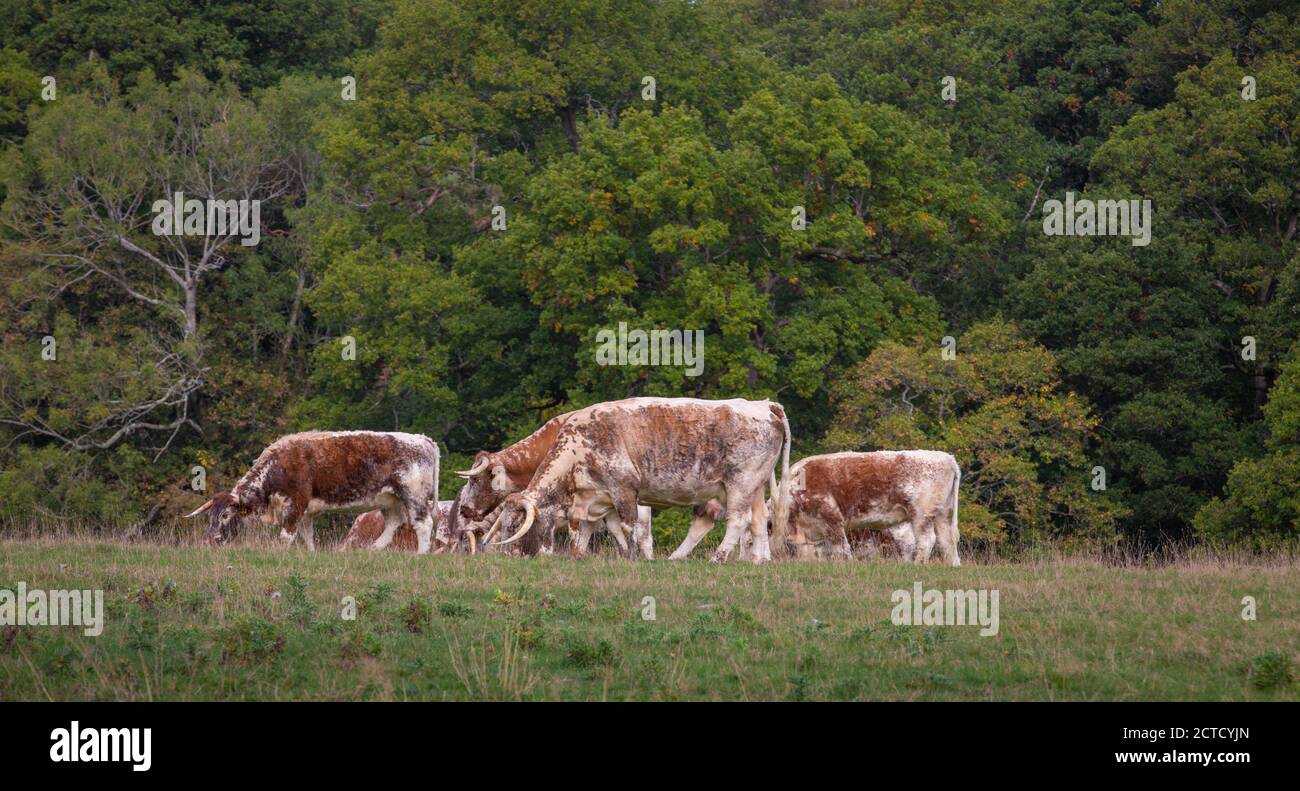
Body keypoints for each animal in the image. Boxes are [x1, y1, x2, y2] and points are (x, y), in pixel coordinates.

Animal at [185, 431, 440, 553]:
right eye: (209, 516)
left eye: (226, 515)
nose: (210, 540)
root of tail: (422, 439)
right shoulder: (305, 511)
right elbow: (306, 535)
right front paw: (310, 552)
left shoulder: (295, 504)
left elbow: (287, 535)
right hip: (389, 499)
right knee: (393, 523)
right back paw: (371, 550)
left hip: (413, 495)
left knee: (423, 523)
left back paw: (420, 554)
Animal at [481, 397, 791, 564]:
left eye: (516, 525)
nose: (506, 554)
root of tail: (764, 405)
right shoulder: (596, 498)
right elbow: (592, 529)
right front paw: (579, 554)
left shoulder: (624, 489)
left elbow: (629, 526)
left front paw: (633, 557)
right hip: (753, 487)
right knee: (757, 520)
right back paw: (759, 560)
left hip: (741, 482)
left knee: (738, 521)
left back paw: (717, 557)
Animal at [772, 451, 960, 566]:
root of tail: (947, 458)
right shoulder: (815, 532)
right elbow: (819, 552)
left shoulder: (831, 516)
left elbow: (842, 547)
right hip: (943, 514)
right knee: (947, 542)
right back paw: (952, 566)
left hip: (922, 514)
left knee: (927, 540)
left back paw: (917, 564)